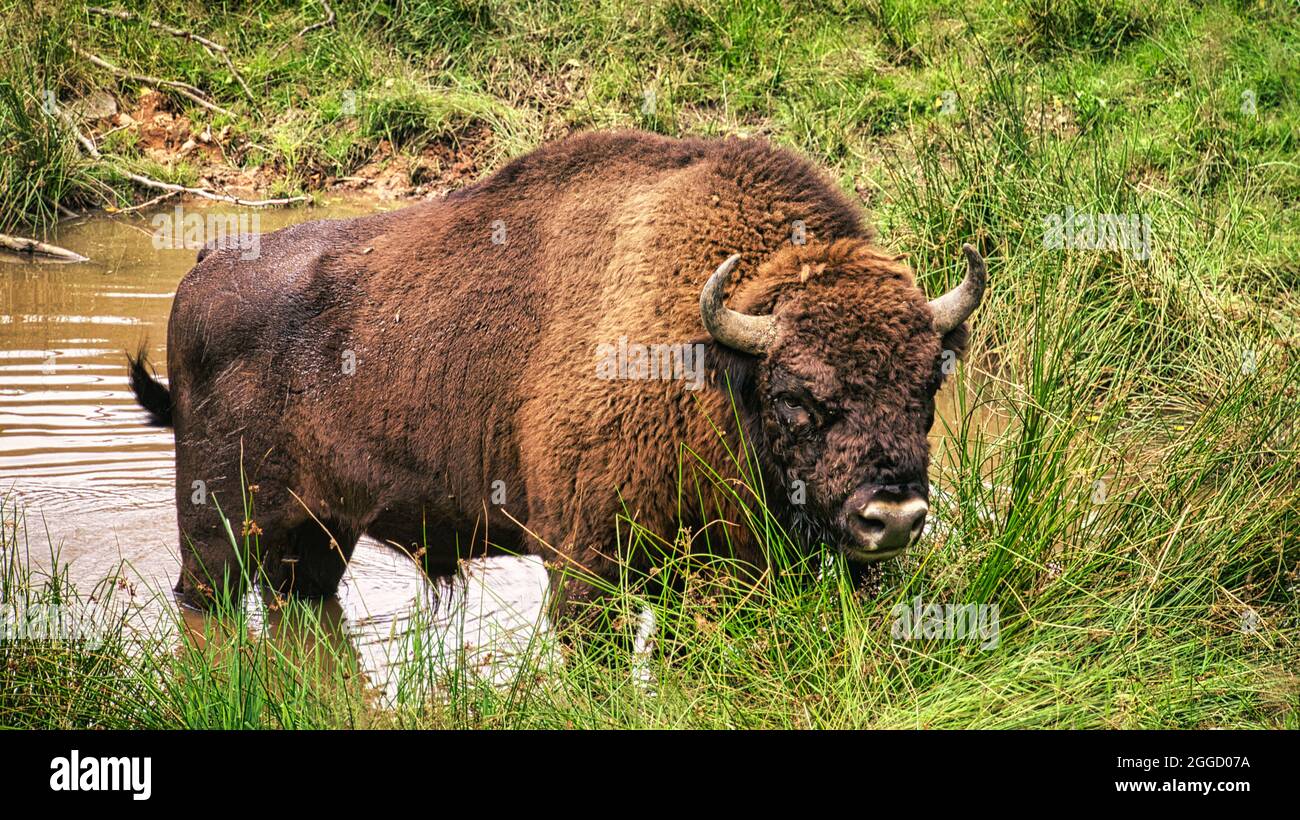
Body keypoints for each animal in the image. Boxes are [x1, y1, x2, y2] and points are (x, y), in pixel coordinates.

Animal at [128, 130, 986, 613]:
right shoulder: (587, 561)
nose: (894, 516)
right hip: (214, 531)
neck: (704, 359)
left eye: (929, 384)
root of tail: (201, 271)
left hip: (319, 536)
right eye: (796, 394)